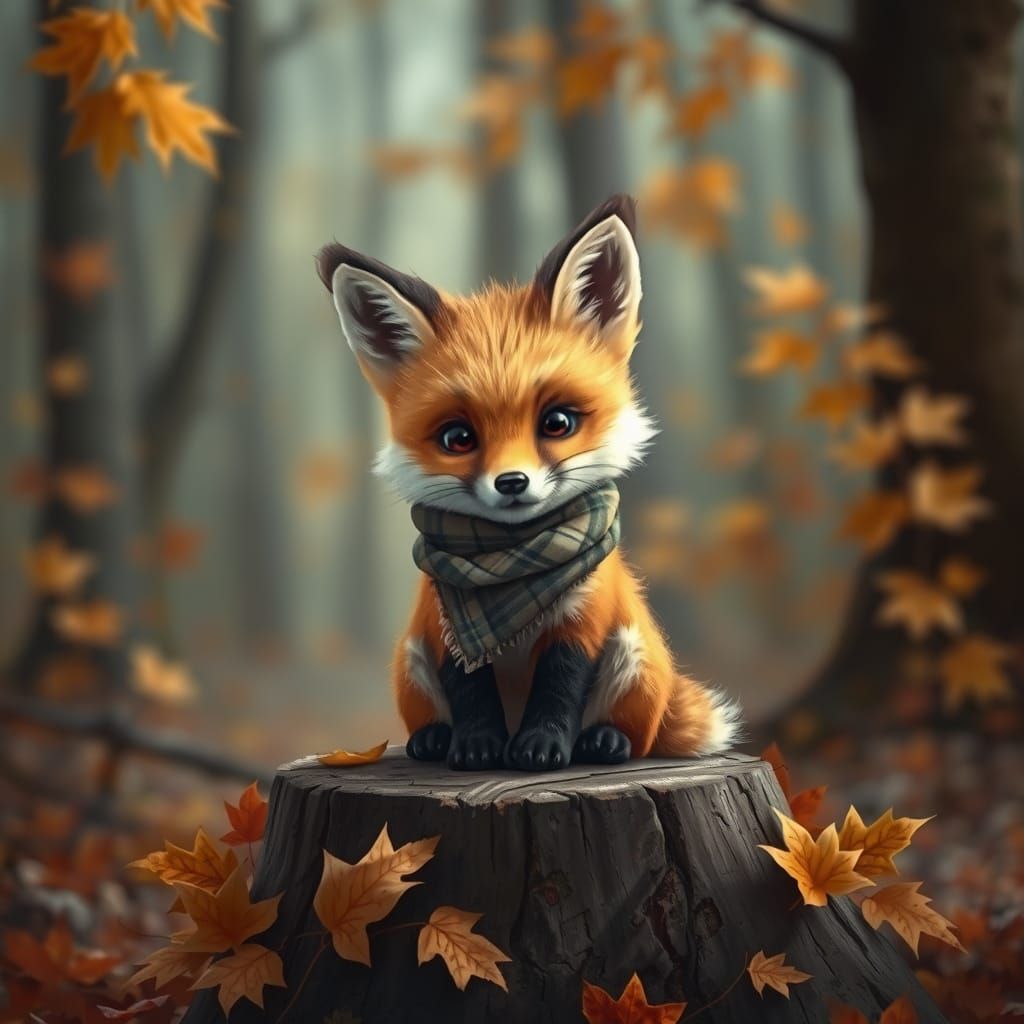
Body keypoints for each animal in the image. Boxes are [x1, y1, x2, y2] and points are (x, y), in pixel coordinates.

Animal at [316, 194, 741, 772]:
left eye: (557, 422)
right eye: (458, 437)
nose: (512, 482)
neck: (511, 565)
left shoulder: (583, 620)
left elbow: (558, 689)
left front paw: (542, 748)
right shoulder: (444, 630)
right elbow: (470, 692)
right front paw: (477, 748)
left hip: (633, 654)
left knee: (639, 734)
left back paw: (605, 741)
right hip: (410, 660)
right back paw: (433, 739)